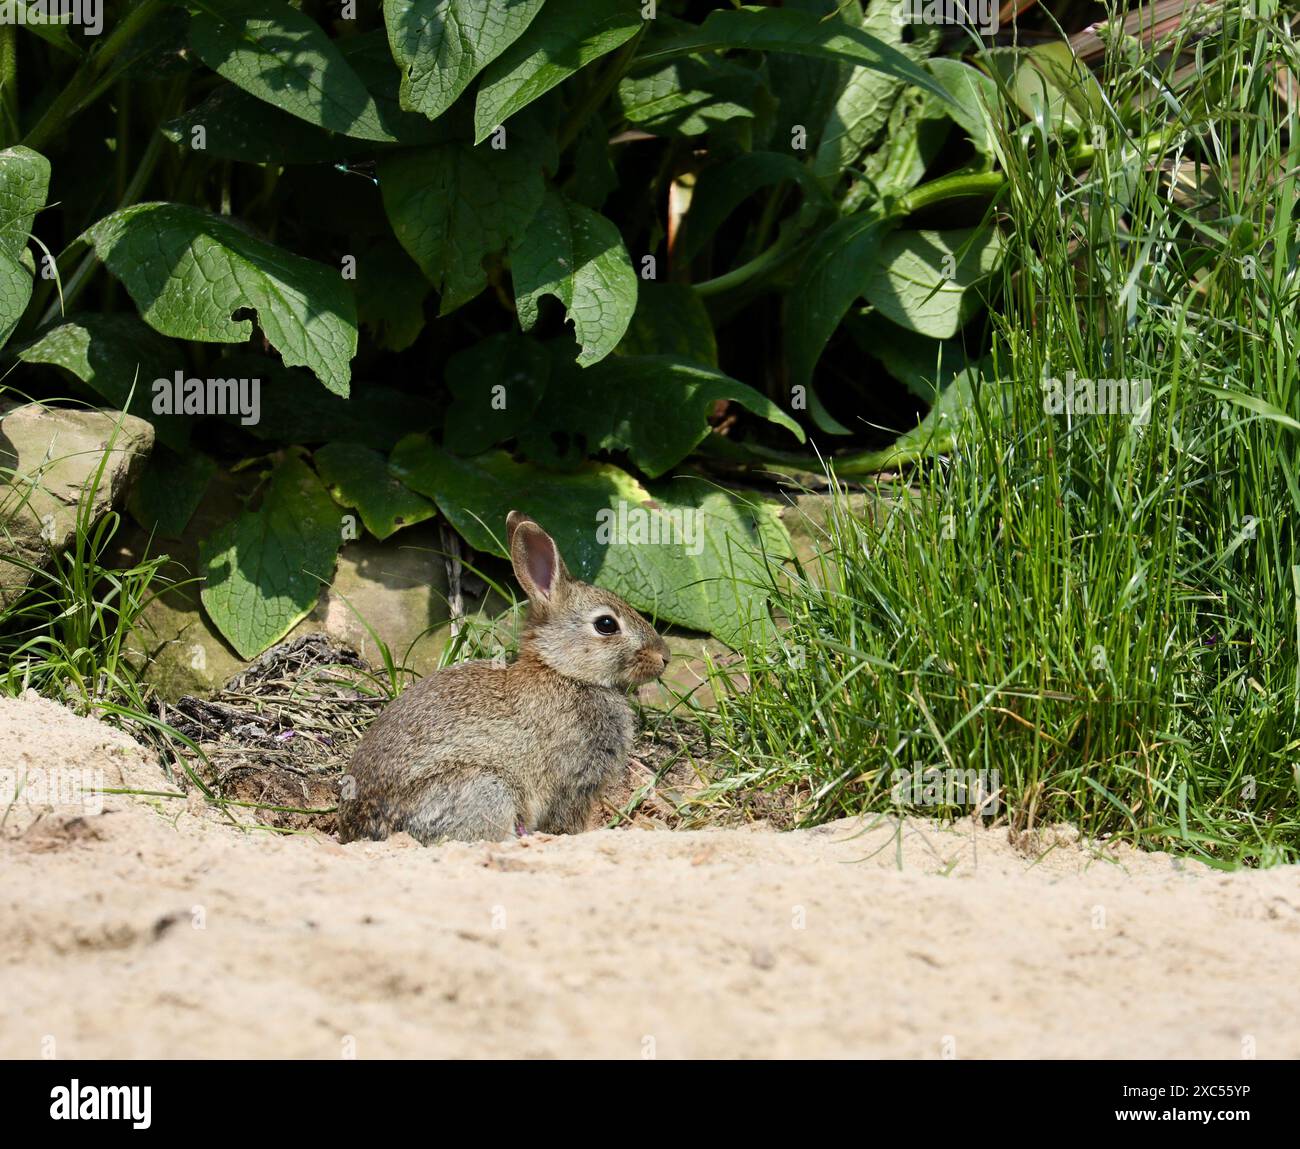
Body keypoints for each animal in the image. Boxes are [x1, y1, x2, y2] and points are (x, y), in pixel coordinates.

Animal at [337, 511, 671, 845]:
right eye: (606, 624)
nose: (664, 657)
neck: (563, 672)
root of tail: (364, 830)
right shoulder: (573, 781)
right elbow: (566, 821)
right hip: (487, 789)